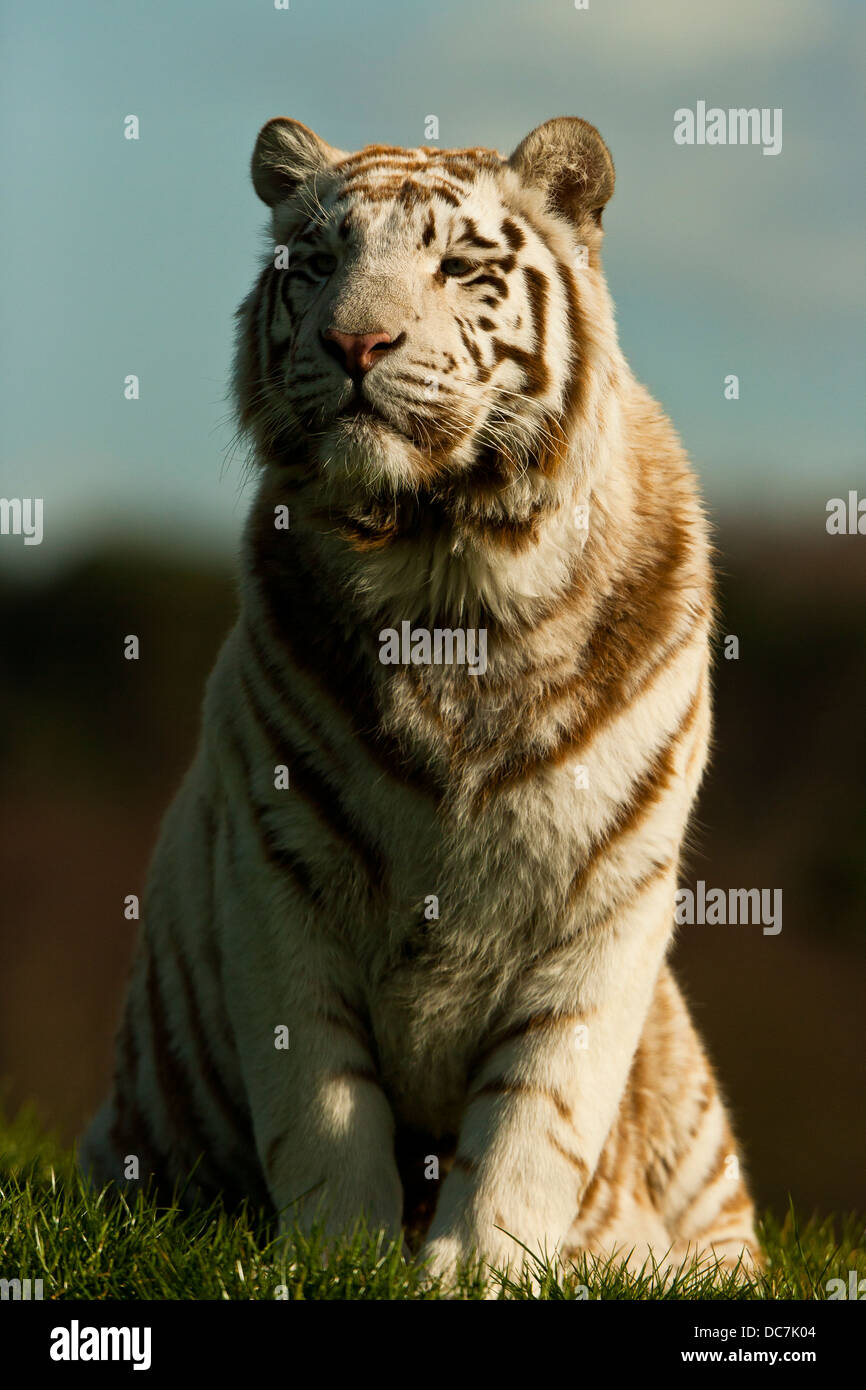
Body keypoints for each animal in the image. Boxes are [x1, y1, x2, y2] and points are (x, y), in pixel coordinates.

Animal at [79, 115, 761, 1289]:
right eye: (316, 263)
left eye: (458, 267)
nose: (356, 344)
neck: (448, 581)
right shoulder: (278, 868)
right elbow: (321, 1102)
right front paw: (338, 1259)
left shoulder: (608, 900)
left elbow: (538, 1114)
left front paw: (484, 1269)